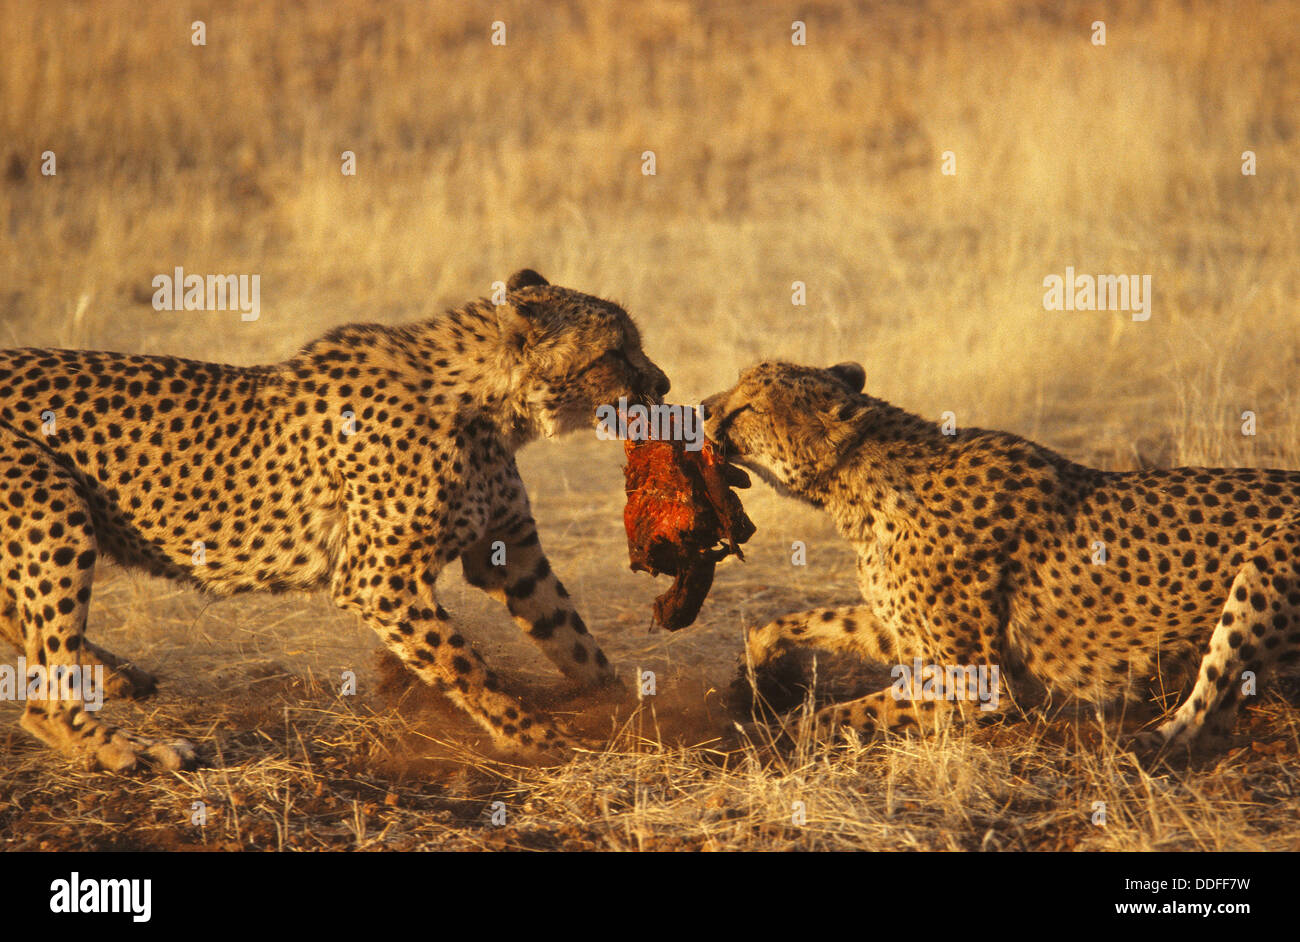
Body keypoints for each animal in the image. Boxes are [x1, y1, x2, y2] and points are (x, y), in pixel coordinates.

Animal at [0, 269, 669, 771]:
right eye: (615, 352)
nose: (662, 385)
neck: (485, 402)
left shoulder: (510, 550)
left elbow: (572, 636)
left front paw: (632, 713)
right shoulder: (380, 582)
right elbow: (467, 666)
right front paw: (540, 738)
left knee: (25, 635)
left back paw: (120, 679)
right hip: (53, 506)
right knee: (43, 697)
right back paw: (135, 751)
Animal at [703, 360, 1300, 756]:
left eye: (749, 405)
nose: (703, 409)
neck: (859, 490)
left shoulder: (981, 686)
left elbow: (849, 709)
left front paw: (765, 734)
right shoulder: (902, 632)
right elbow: (813, 619)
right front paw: (755, 666)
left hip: (1266, 568)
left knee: (1208, 718)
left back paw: (1137, 746)